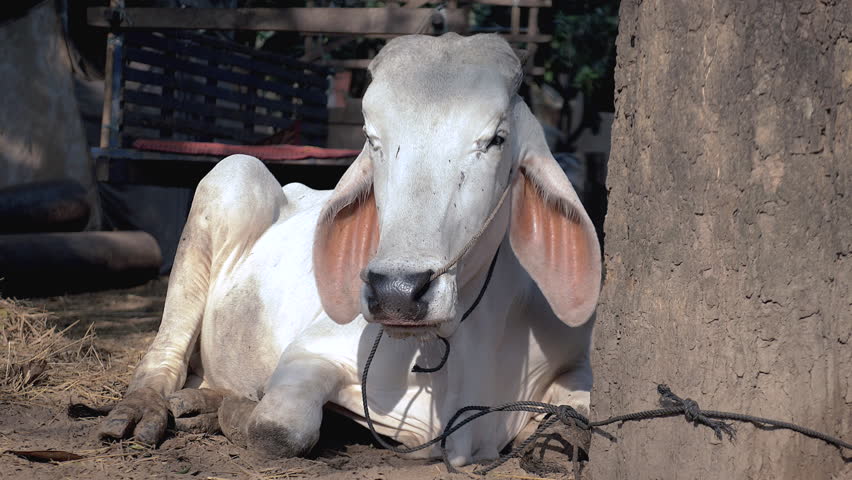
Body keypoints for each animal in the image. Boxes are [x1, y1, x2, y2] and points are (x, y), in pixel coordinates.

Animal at [97, 33, 601, 467]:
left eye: (496, 138)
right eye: (372, 137)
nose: (398, 292)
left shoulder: (576, 362)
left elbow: (582, 416)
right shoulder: (312, 352)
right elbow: (277, 429)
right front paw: (239, 411)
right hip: (230, 175)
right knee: (164, 353)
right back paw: (148, 407)